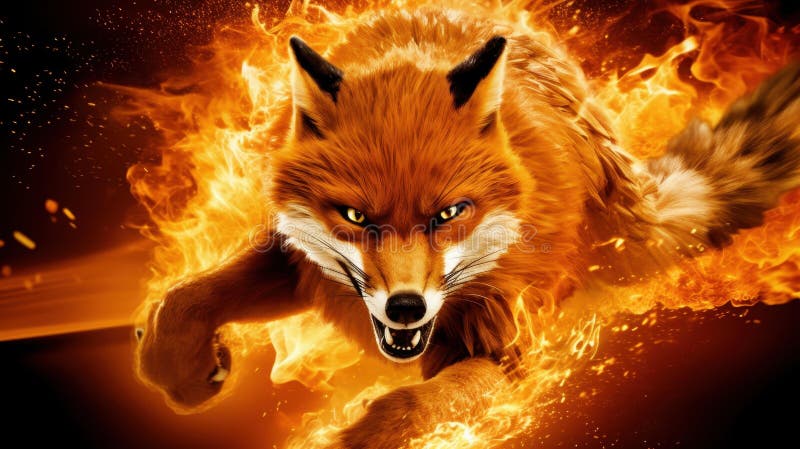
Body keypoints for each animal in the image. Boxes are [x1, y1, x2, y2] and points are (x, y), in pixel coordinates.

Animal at [134, 6, 800, 449]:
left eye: (449, 214)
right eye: (355, 217)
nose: (405, 307)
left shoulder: (510, 351)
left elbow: (410, 405)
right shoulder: (302, 261)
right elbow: (182, 302)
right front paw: (185, 375)